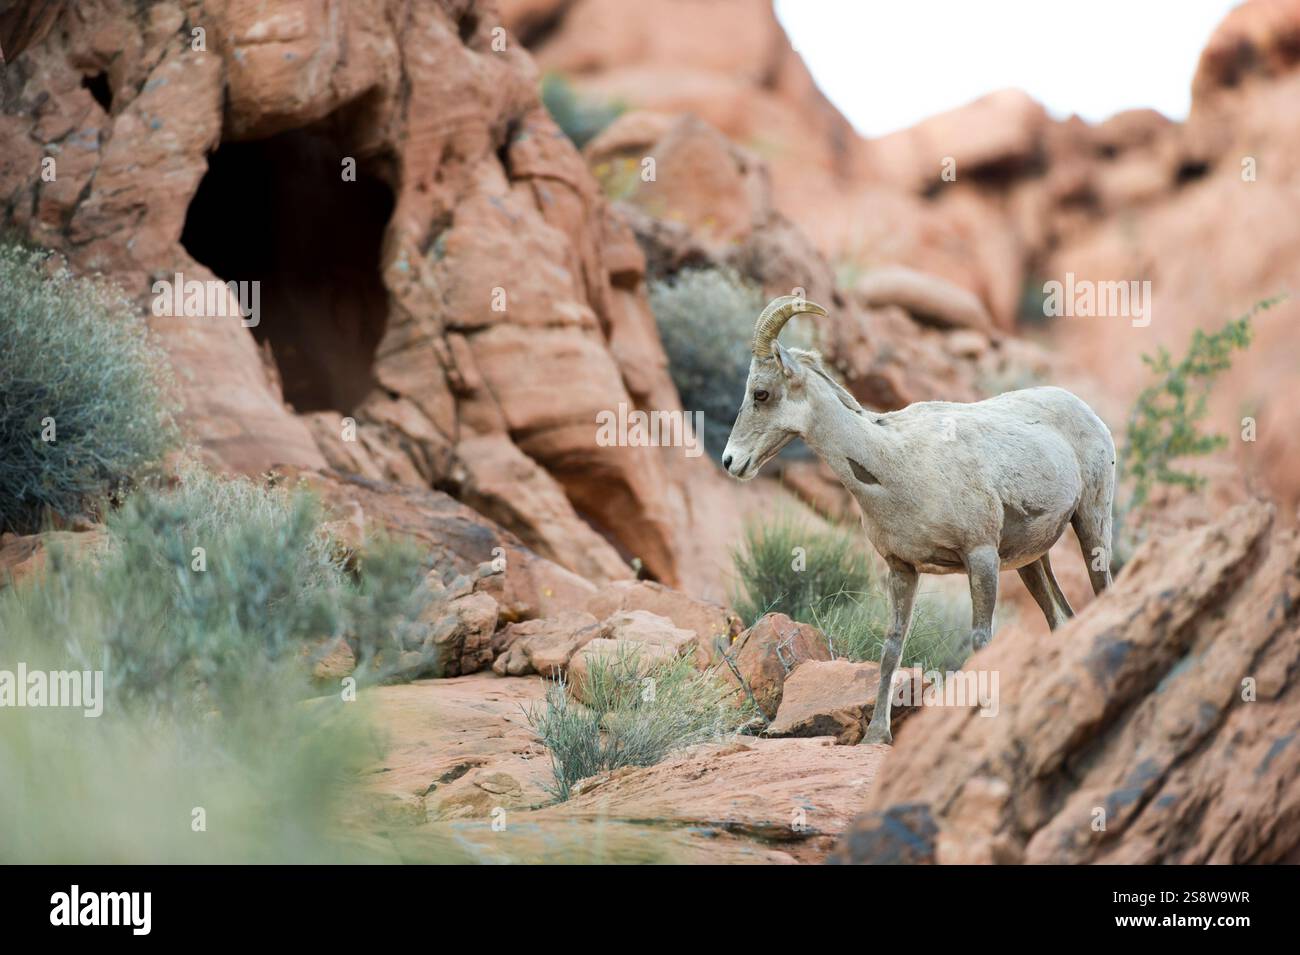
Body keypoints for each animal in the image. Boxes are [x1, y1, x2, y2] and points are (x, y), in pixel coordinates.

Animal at [722, 295, 1116, 744]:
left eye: (761, 393)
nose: (730, 461)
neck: (896, 464)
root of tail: (1085, 410)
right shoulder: (902, 567)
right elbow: (892, 645)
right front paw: (878, 735)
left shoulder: (980, 556)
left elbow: (981, 641)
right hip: (1030, 561)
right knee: (1059, 619)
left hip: (1092, 526)